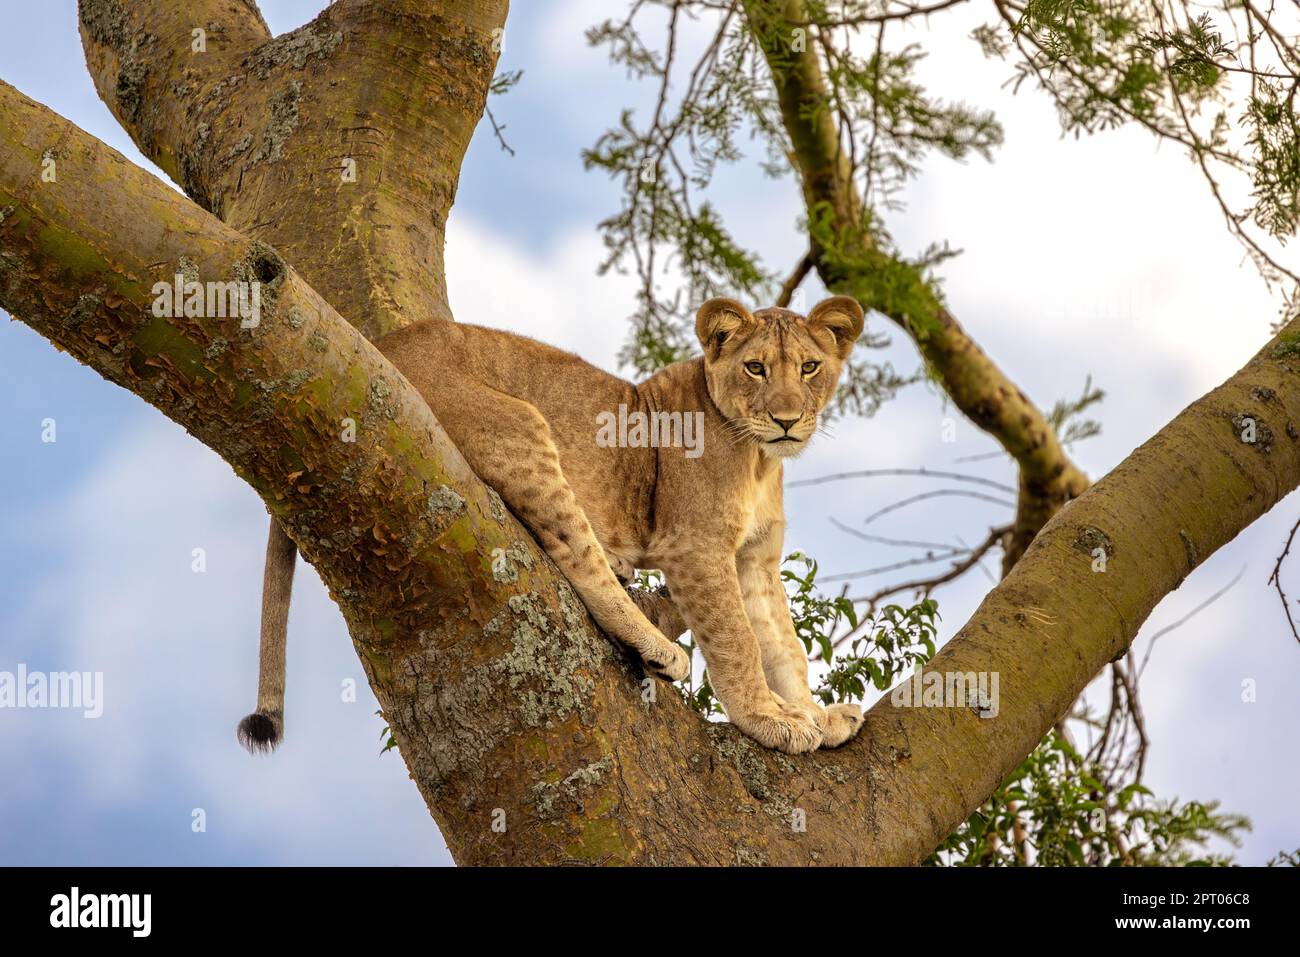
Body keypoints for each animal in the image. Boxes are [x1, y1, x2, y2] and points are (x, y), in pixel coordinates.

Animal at [239, 295, 867, 755]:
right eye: (755, 368)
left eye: (810, 368)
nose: (787, 420)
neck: (761, 461)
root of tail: (378, 344)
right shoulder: (696, 546)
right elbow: (738, 640)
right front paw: (767, 720)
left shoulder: (754, 559)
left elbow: (782, 643)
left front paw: (813, 712)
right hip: (519, 423)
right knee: (573, 554)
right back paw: (654, 643)